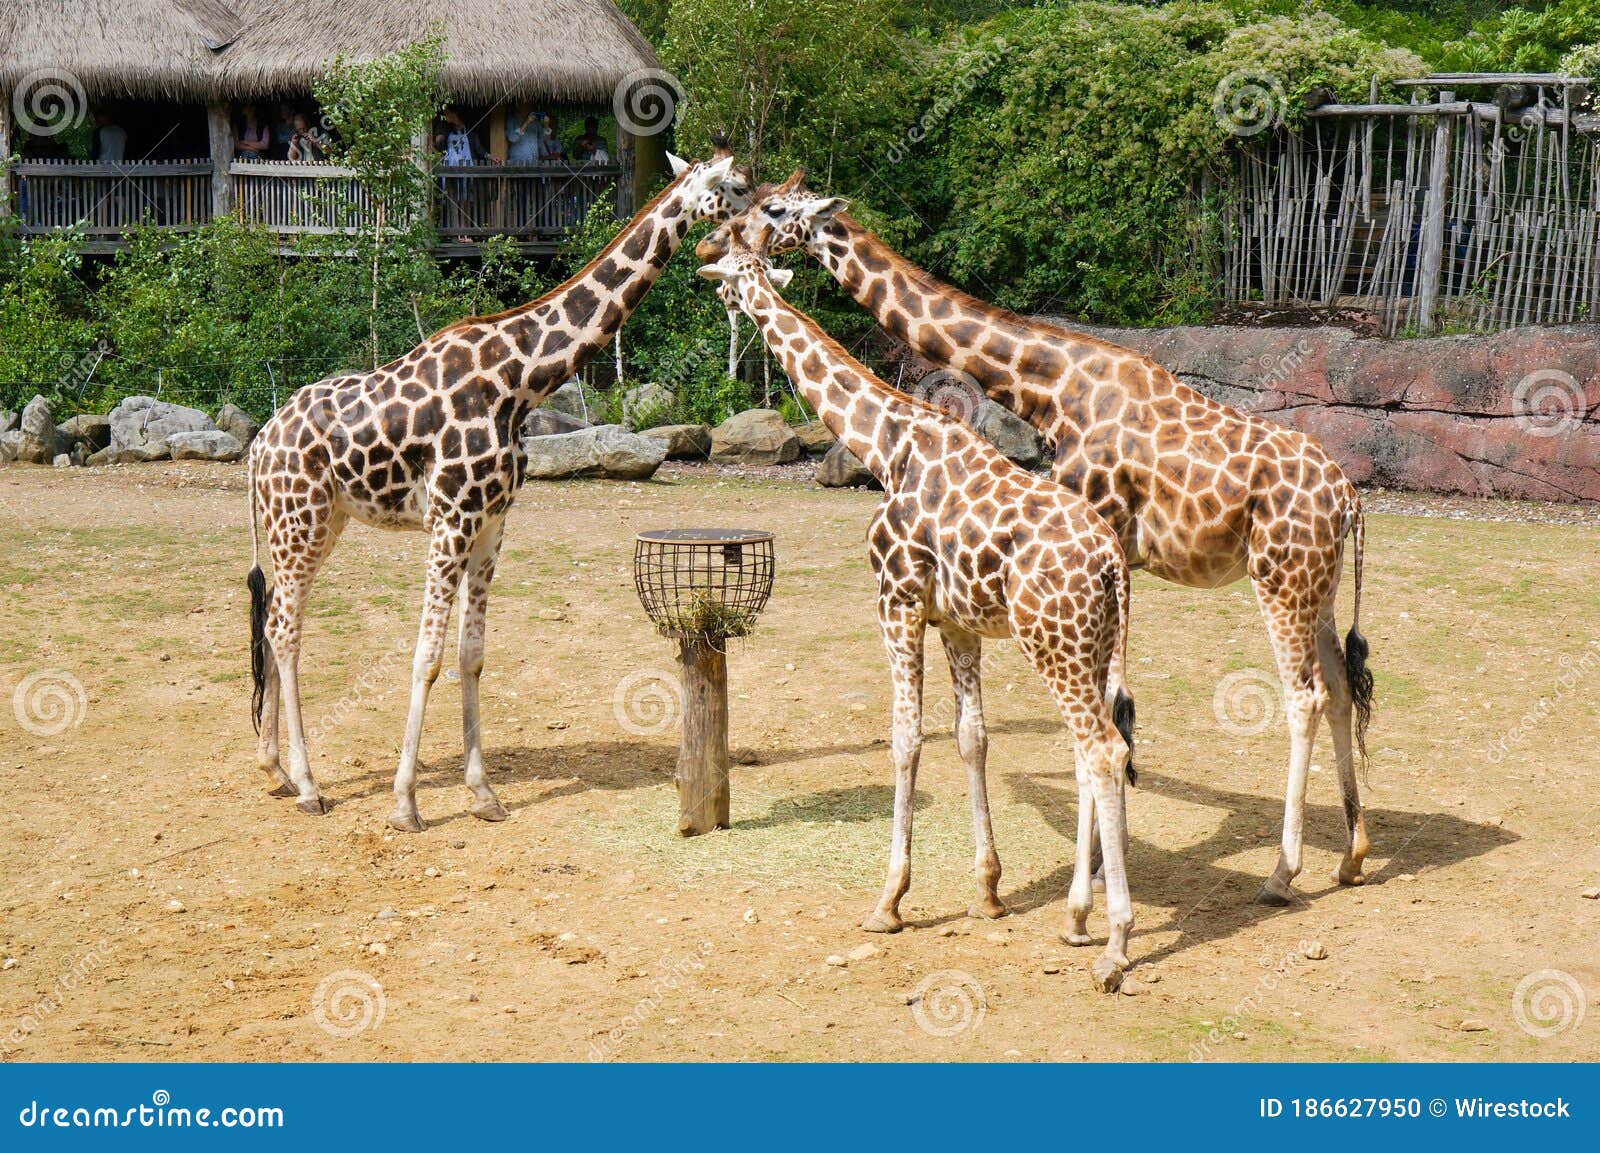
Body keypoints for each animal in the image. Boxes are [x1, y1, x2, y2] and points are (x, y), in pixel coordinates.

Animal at [247, 150, 753, 833]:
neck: (521, 380)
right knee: (283, 629)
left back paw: (275, 768)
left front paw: (483, 793)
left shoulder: (492, 524)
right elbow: (427, 657)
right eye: (738, 188)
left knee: (276, 617)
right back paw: (307, 785)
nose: (750, 228)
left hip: (318, 523)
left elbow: (472, 655)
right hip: (298, 521)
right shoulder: (450, 519)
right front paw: (405, 804)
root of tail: (257, 446)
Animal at [699, 235, 1139, 992]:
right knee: (1091, 752)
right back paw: (1076, 918)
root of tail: (1112, 563)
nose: (716, 289)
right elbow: (972, 738)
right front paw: (988, 892)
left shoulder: (895, 600)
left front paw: (888, 901)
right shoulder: (959, 623)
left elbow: (905, 739)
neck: (887, 443)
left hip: (1052, 641)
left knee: (1105, 750)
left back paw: (1114, 944)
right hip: (1093, 644)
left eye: (730, 268)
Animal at [701, 175, 1375, 905]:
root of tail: (1349, 499)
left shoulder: (1100, 529)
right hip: (1318, 584)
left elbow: (1108, 714)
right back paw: (1352, 855)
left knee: (1302, 697)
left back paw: (1282, 872)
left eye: (771, 210)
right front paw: (1098, 865)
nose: (710, 244)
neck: (1050, 387)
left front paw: (1099, 870)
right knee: (1341, 690)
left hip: (1278, 579)